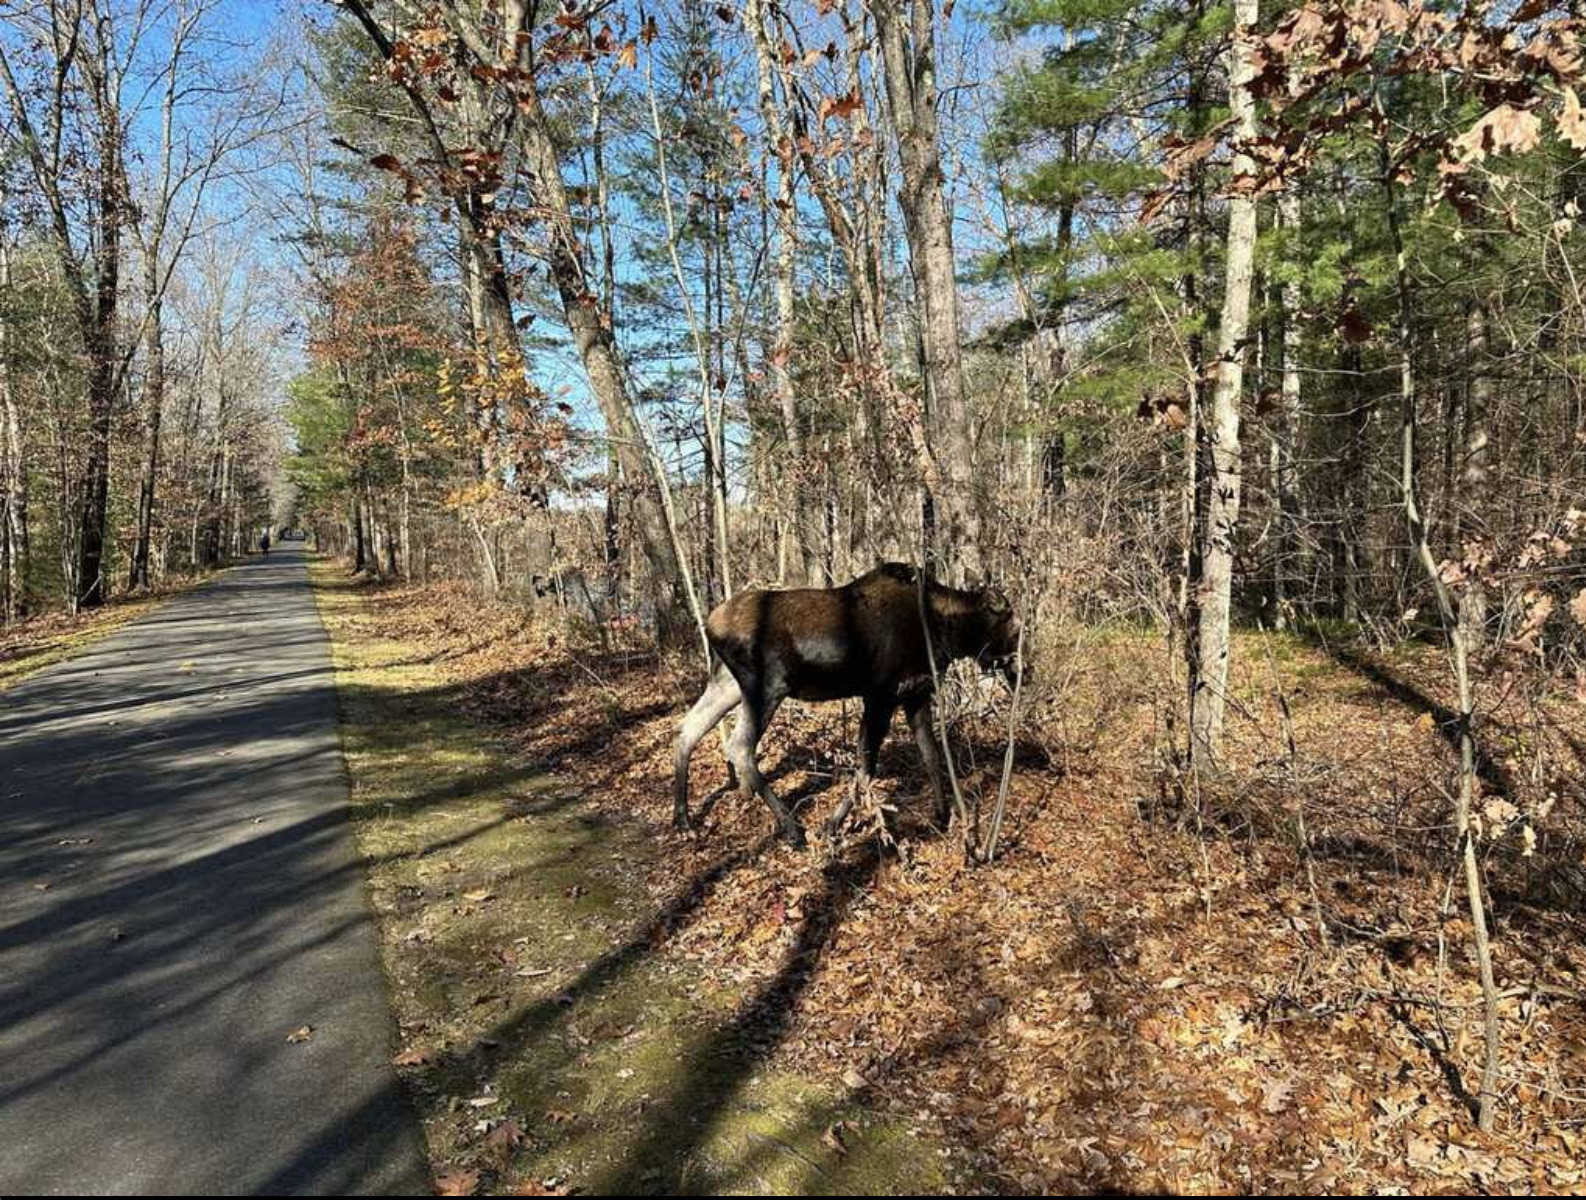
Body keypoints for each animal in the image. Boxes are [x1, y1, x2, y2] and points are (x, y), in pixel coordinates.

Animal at [672, 562, 1020, 848]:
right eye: (1012, 627)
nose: (1018, 670)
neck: (944, 632)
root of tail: (708, 625)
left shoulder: (915, 695)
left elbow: (931, 756)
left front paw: (943, 815)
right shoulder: (880, 695)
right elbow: (867, 768)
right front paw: (831, 825)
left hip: (727, 684)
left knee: (687, 729)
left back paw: (683, 821)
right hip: (767, 686)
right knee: (738, 746)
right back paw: (793, 828)